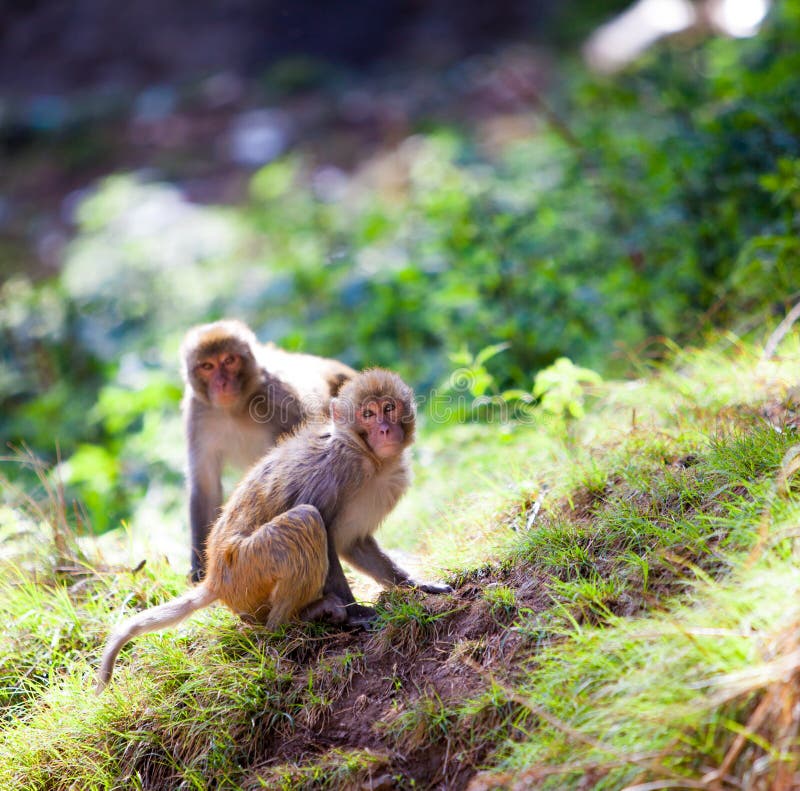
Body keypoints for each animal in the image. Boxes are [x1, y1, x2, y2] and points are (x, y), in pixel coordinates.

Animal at [96, 368, 452, 691]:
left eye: (388, 407)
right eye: (368, 413)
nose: (384, 428)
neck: (370, 459)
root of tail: (214, 577)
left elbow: (353, 543)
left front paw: (414, 584)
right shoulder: (337, 468)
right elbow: (324, 530)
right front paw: (356, 614)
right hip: (245, 569)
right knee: (305, 520)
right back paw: (294, 621)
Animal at [181, 319, 355, 582]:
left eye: (229, 360)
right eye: (207, 366)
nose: (222, 383)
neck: (235, 408)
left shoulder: (280, 399)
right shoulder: (198, 413)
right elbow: (205, 487)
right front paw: (200, 570)